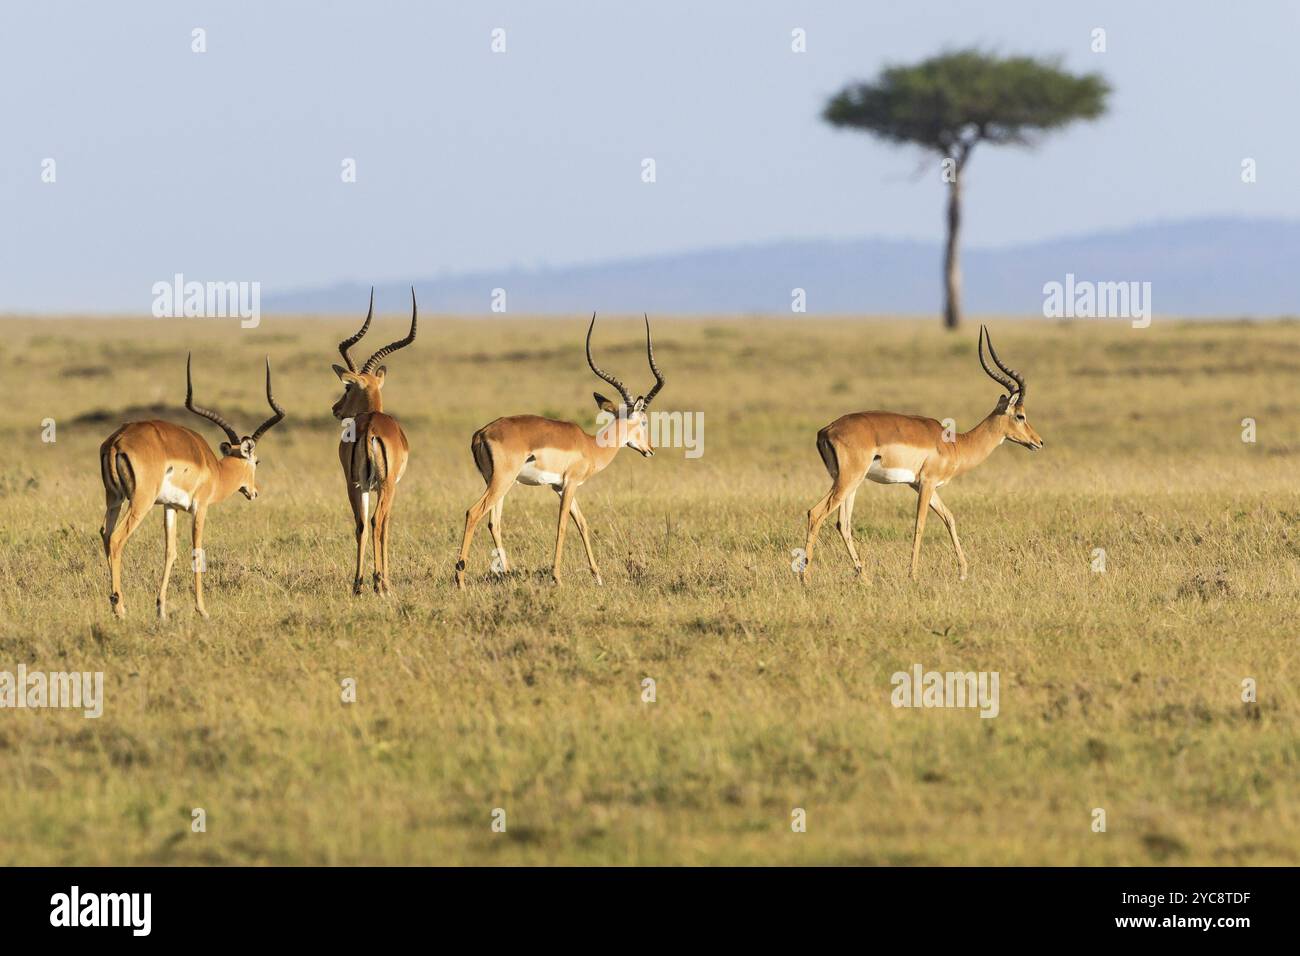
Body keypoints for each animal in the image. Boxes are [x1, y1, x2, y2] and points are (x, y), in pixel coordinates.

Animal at [99, 354, 285, 619]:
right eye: (256, 461)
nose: (254, 491)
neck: (215, 469)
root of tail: (117, 440)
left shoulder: (170, 507)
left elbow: (170, 551)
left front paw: (161, 609)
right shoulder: (200, 508)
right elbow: (197, 550)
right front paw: (202, 610)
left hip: (114, 498)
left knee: (105, 534)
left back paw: (114, 602)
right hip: (140, 502)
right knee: (116, 539)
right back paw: (120, 608)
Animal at [331, 288, 416, 595]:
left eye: (347, 388)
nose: (336, 409)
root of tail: (369, 427)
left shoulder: (363, 484)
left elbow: (363, 525)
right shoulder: (390, 486)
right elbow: (386, 525)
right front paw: (383, 581)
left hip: (354, 483)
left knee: (361, 524)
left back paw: (358, 585)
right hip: (385, 484)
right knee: (377, 522)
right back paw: (382, 584)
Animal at [454, 314, 665, 589]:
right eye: (643, 422)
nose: (650, 449)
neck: (590, 446)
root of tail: (482, 433)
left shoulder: (559, 487)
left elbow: (583, 523)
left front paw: (597, 576)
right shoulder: (571, 484)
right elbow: (563, 525)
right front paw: (557, 577)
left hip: (495, 482)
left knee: (493, 522)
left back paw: (507, 573)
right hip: (502, 480)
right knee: (473, 512)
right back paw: (460, 579)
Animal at [801, 325, 1042, 583]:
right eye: (1020, 415)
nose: (1038, 442)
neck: (955, 445)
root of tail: (826, 430)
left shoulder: (920, 485)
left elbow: (949, 517)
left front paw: (963, 572)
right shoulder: (927, 483)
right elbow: (920, 524)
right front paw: (913, 574)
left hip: (850, 482)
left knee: (843, 524)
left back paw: (864, 578)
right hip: (848, 480)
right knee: (815, 513)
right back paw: (805, 578)